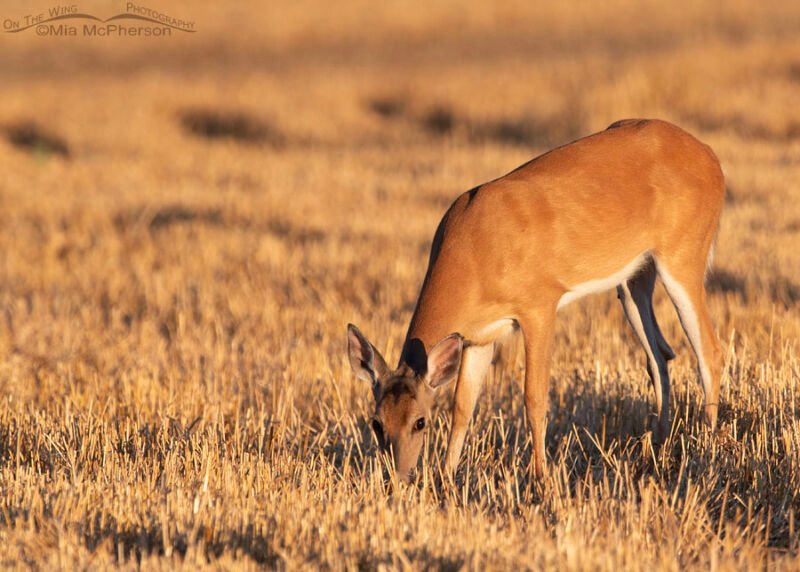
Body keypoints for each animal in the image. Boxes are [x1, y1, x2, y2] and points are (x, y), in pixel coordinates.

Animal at [347, 119, 725, 482]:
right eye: (376, 422)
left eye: (420, 421)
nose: (399, 477)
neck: (475, 252)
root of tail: (711, 157)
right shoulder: (480, 337)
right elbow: (462, 407)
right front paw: (445, 477)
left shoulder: (539, 305)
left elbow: (534, 396)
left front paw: (541, 478)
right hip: (634, 280)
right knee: (659, 357)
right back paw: (658, 448)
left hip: (683, 255)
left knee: (709, 350)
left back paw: (706, 448)